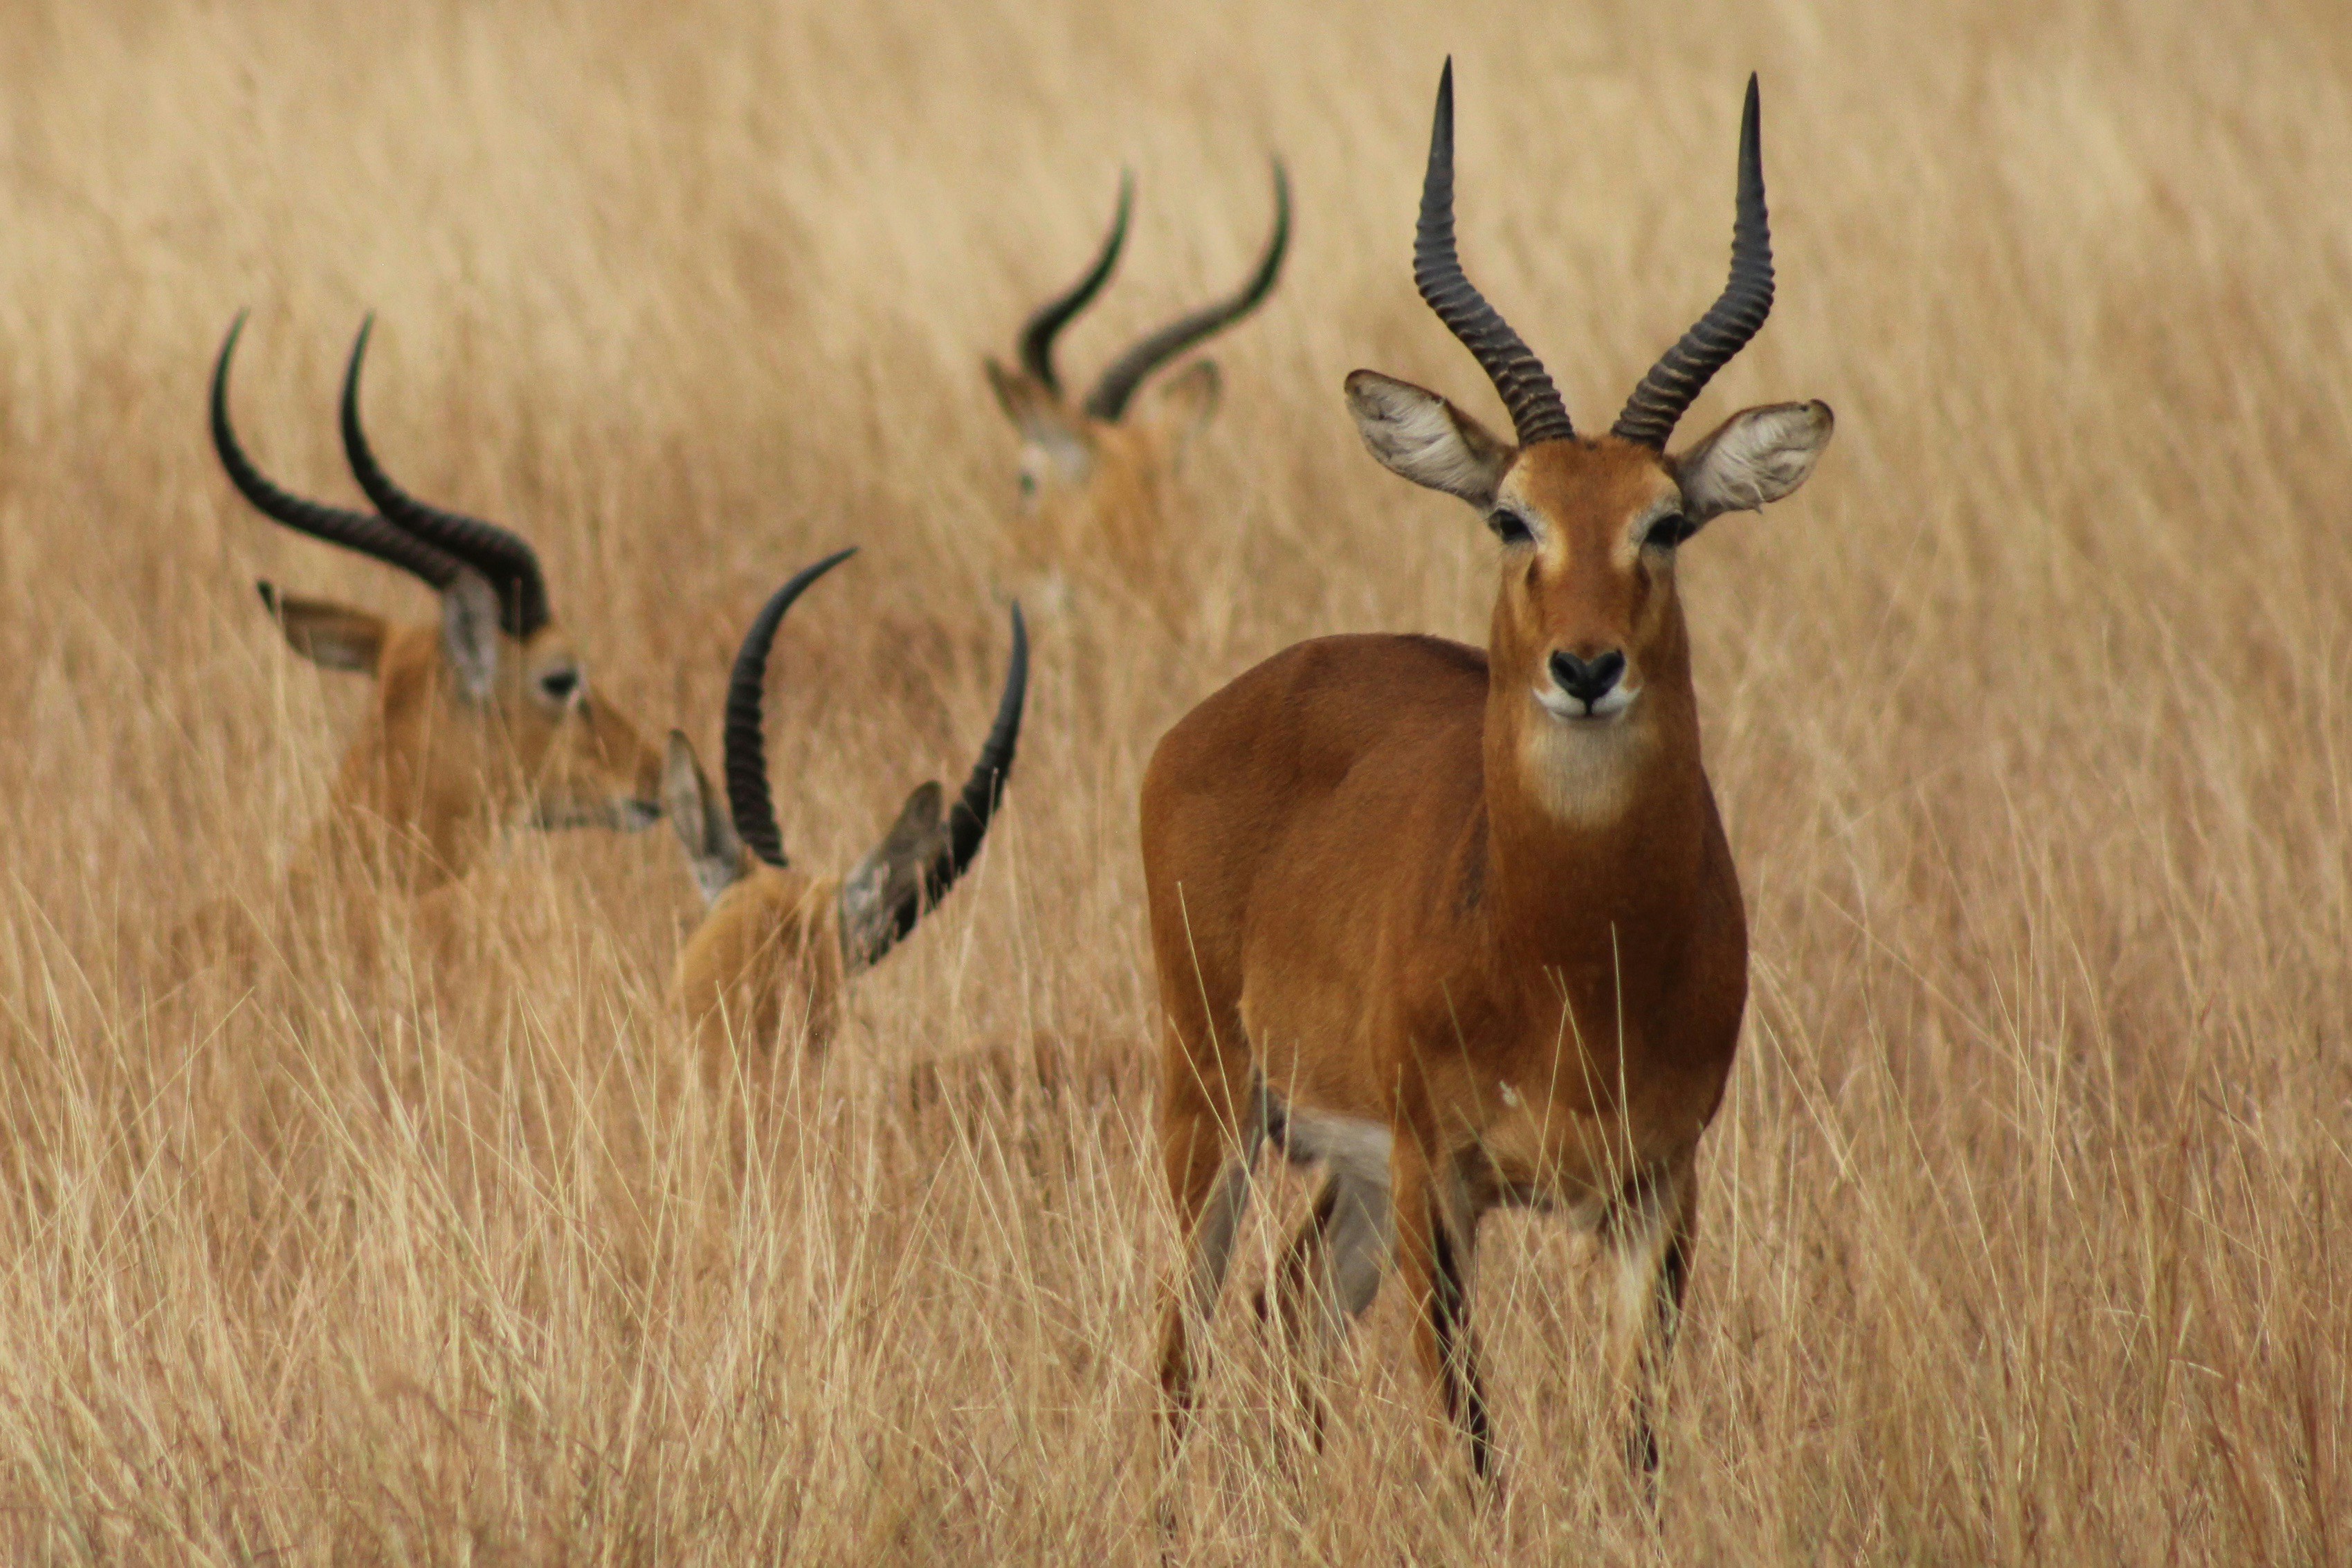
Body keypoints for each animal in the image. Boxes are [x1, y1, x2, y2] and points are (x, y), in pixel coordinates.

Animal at [1144, 65, 1832, 1494]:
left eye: (1664, 522)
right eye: (1511, 514)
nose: (1584, 665)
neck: (1569, 955)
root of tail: (1233, 702)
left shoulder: (1656, 1187)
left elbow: (1630, 1452)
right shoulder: (1440, 1176)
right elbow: (1470, 1446)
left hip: (1340, 1176)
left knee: (1281, 1315)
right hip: (1213, 1104)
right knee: (1178, 1356)